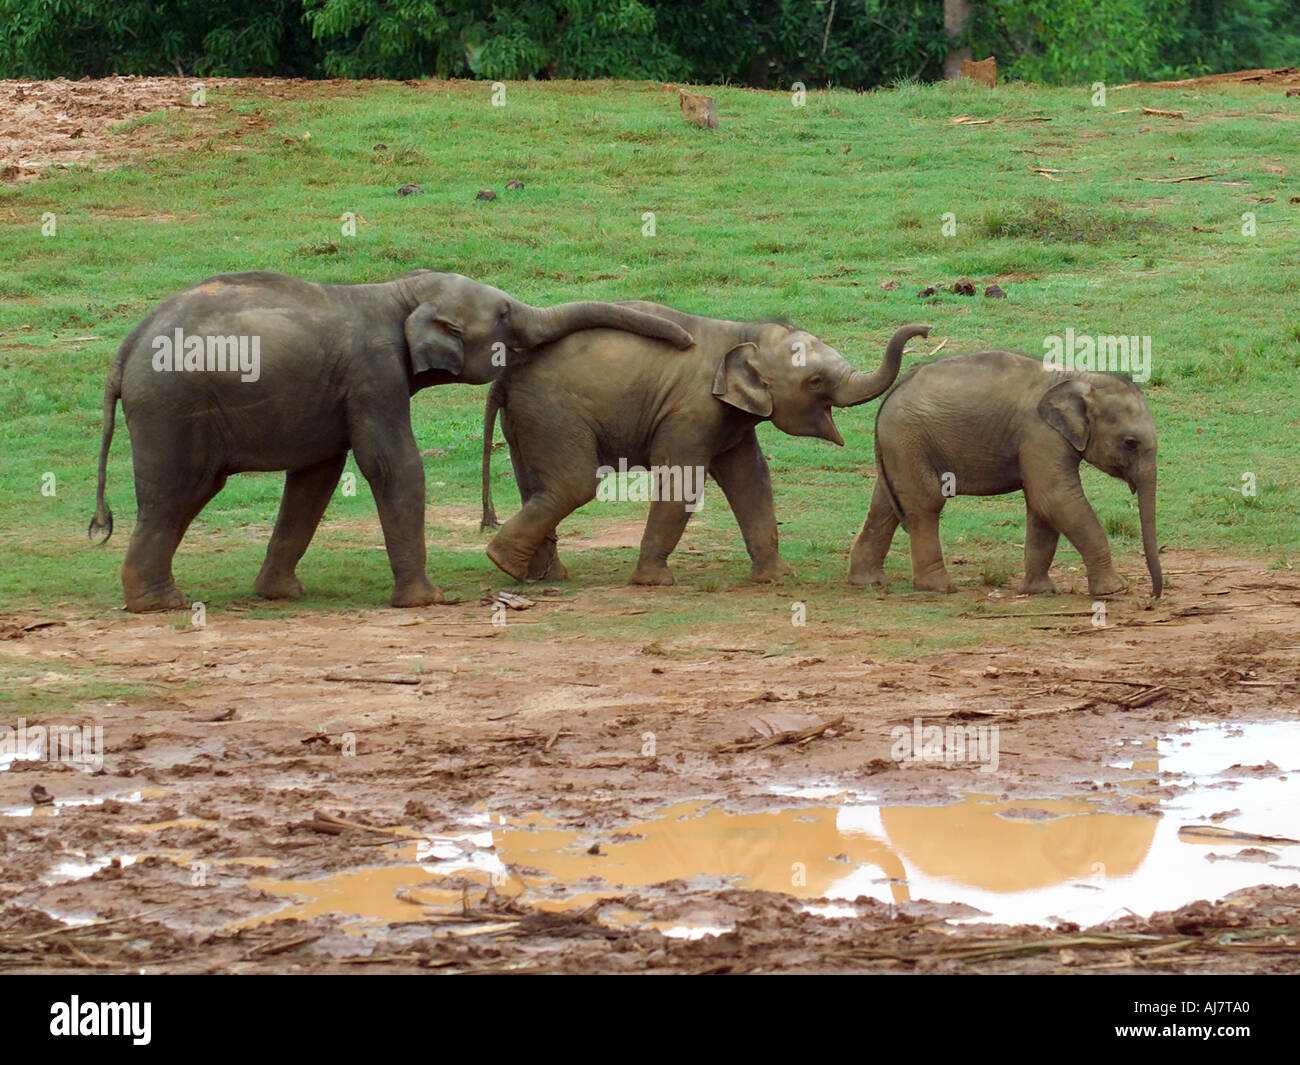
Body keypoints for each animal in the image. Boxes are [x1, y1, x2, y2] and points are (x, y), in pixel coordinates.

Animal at [88, 270, 693, 612]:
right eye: (503, 313)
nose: (687, 341)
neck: (396, 292)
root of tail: (122, 353)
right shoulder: (373, 373)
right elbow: (392, 464)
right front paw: (428, 602)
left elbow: (317, 476)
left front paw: (281, 595)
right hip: (171, 408)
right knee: (176, 494)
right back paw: (159, 605)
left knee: (182, 497)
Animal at [480, 306, 931, 586]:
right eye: (815, 381)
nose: (925, 330)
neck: (742, 333)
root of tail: (505, 376)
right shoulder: (690, 412)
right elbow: (683, 481)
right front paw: (655, 582)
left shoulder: (730, 419)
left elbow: (751, 478)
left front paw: (778, 578)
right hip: (552, 413)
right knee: (573, 484)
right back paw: (506, 564)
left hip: (527, 421)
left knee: (537, 486)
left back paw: (537, 573)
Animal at [847, 350, 1162, 597]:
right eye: (1130, 443)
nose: (1154, 596)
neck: (1077, 375)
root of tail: (890, 395)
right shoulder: (1040, 434)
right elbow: (1055, 497)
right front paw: (1115, 589)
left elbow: (1042, 506)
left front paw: (1040, 591)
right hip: (910, 438)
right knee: (926, 504)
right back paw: (939, 587)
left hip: (901, 446)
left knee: (885, 505)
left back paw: (869, 581)